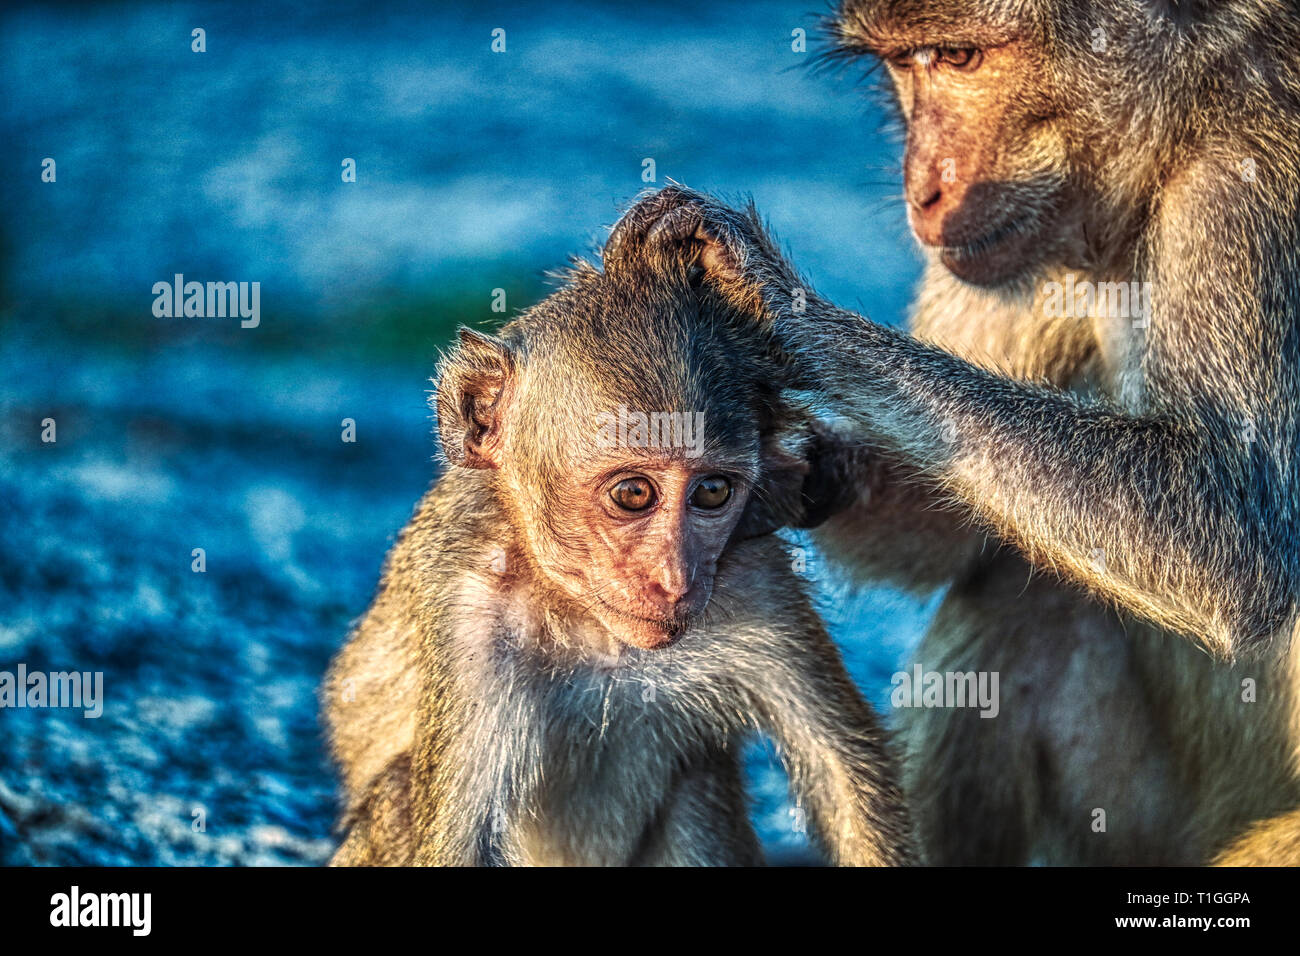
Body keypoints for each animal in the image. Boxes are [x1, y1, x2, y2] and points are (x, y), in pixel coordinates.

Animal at [321, 205, 913, 866]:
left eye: (712, 492)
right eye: (633, 494)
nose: (674, 580)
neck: (593, 625)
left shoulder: (755, 579)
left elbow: (844, 770)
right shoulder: (468, 616)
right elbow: (456, 841)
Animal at [610, 0, 1300, 865]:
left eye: (962, 58)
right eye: (909, 65)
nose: (922, 188)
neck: (1191, 118)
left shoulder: (1249, 183)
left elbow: (1233, 527)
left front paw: (771, 300)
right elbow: (947, 533)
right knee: (1020, 602)